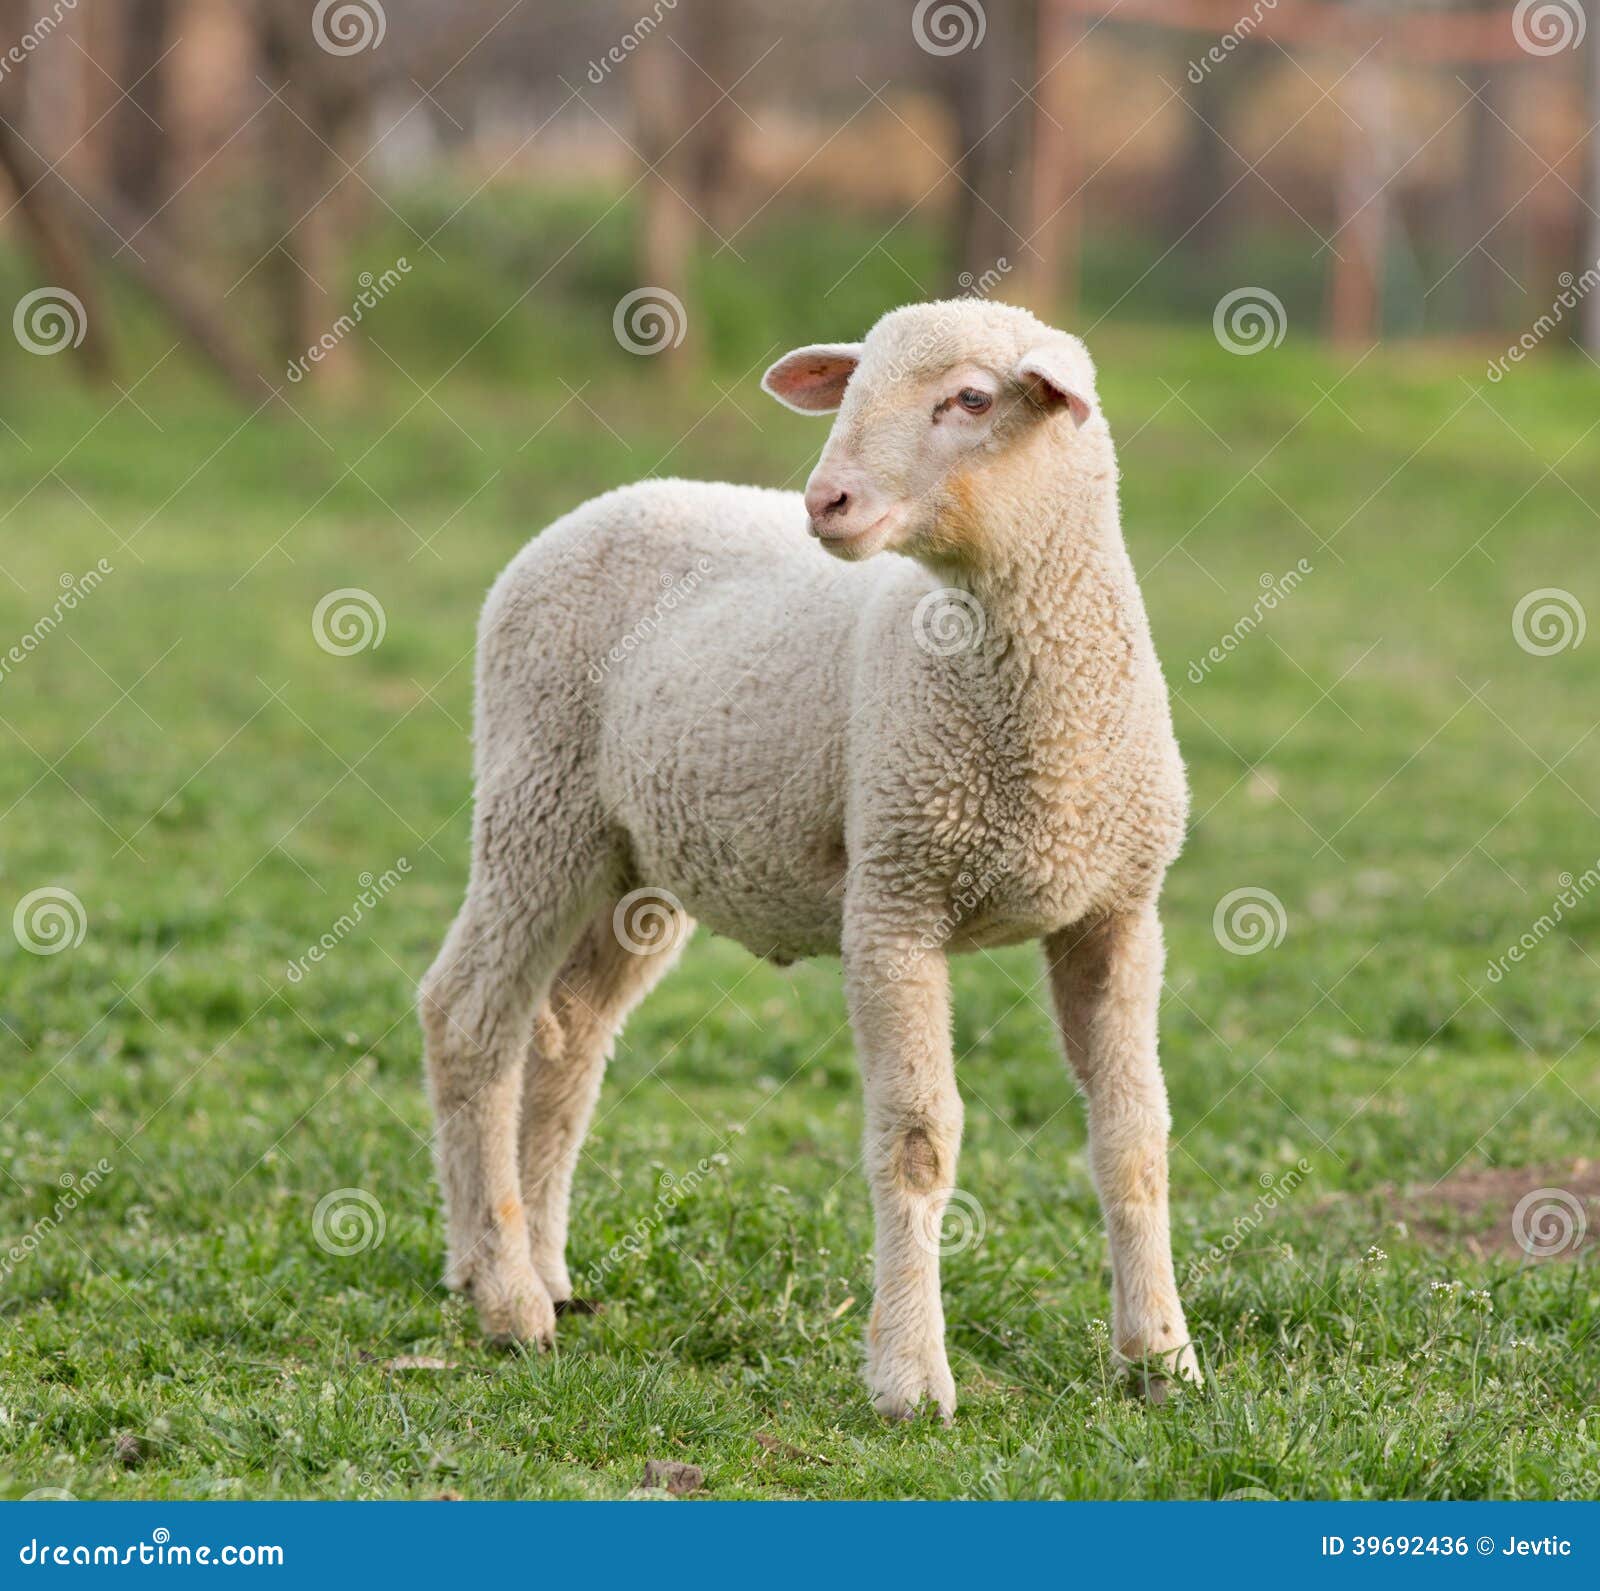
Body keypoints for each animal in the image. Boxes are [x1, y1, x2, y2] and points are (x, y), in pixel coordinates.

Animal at [419, 298, 1199, 1420]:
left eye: (971, 398)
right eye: (855, 384)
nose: (825, 498)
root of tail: (598, 505)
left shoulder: (1118, 912)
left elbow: (1136, 1137)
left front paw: (1161, 1357)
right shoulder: (894, 900)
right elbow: (918, 1141)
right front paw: (910, 1376)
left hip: (632, 859)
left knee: (565, 1032)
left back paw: (537, 1264)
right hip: (537, 800)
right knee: (471, 1017)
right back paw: (506, 1298)